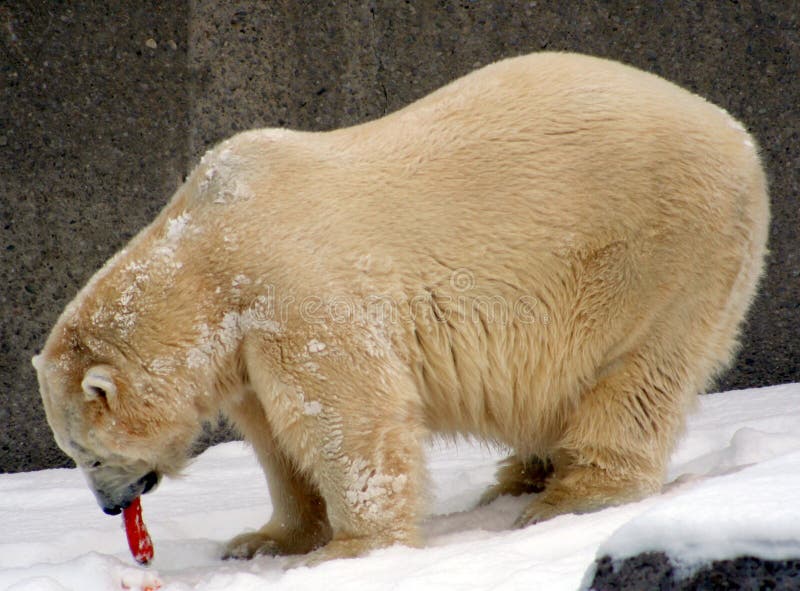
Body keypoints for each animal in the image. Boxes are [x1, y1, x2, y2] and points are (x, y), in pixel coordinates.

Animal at [34, 52, 769, 566]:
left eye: (87, 454)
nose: (111, 507)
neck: (208, 248)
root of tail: (741, 138)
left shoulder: (295, 289)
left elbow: (344, 415)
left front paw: (350, 550)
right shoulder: (243, 343)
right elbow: (275, 439)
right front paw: (262, 539)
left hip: (661, 258)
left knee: (637, 375)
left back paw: (572, 494)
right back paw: (517, 475)